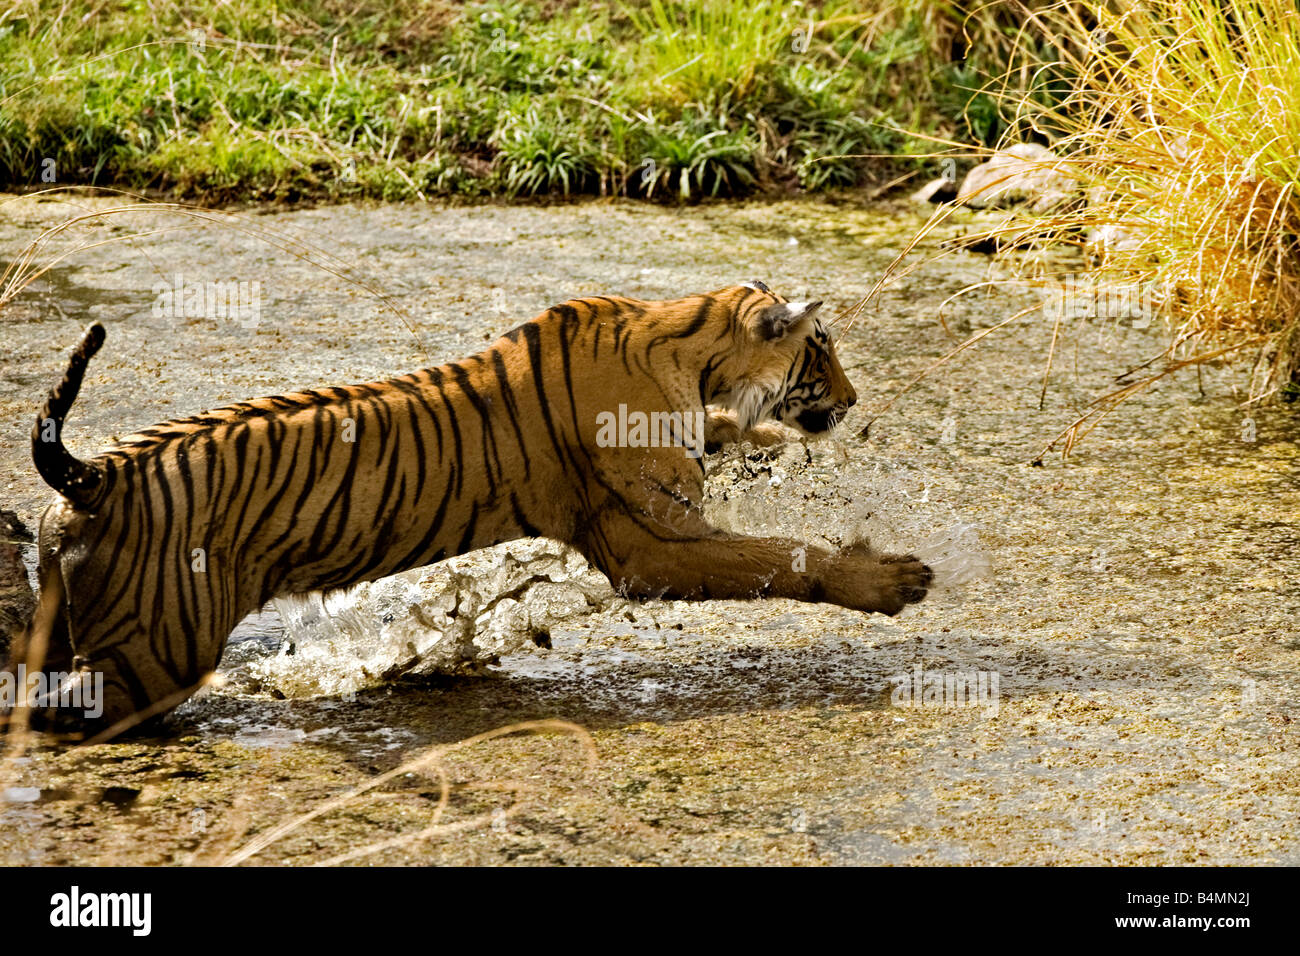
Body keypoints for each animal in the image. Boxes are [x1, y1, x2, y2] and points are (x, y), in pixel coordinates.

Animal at [9, 281, 931, 731]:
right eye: (823, 352)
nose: (852, 401)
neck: (687, 345)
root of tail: (94, 476)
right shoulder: (653, 544)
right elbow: (782, 559)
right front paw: (894, 580)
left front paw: (762, 439)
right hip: (158, 651)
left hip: (72, 624)